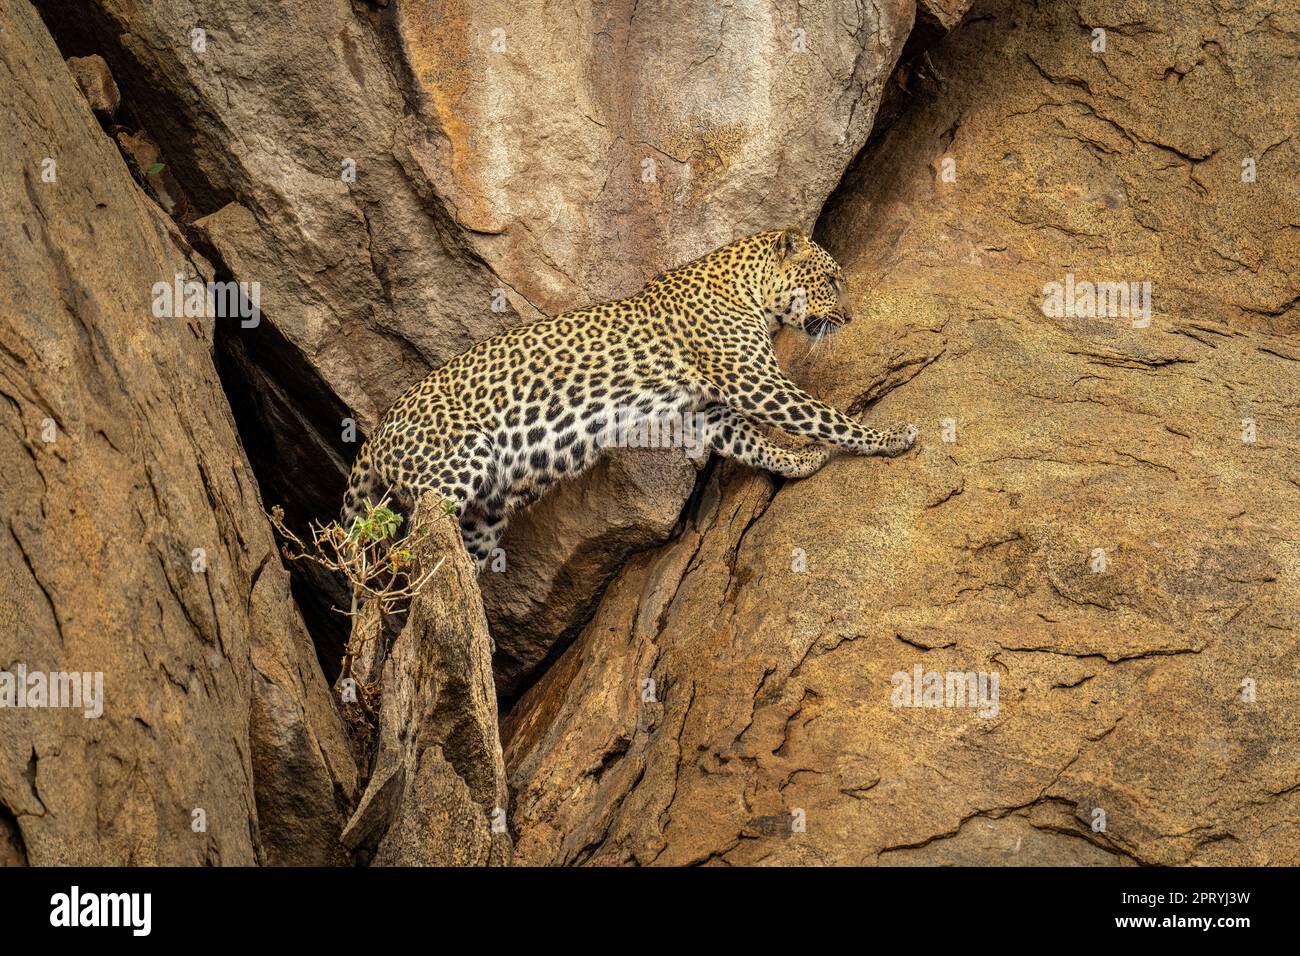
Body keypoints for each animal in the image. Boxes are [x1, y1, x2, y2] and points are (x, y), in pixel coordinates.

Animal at [340, 226, 920, 567]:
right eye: (832, 280)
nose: (850, 317)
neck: (750, 291)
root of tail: (377, 431)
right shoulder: (754, 380)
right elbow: (822, 414)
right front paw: (890, 437)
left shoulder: (706, 411)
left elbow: (755, 441)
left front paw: (799, 463)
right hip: (456, 465)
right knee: (408, 554)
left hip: (484, 514)